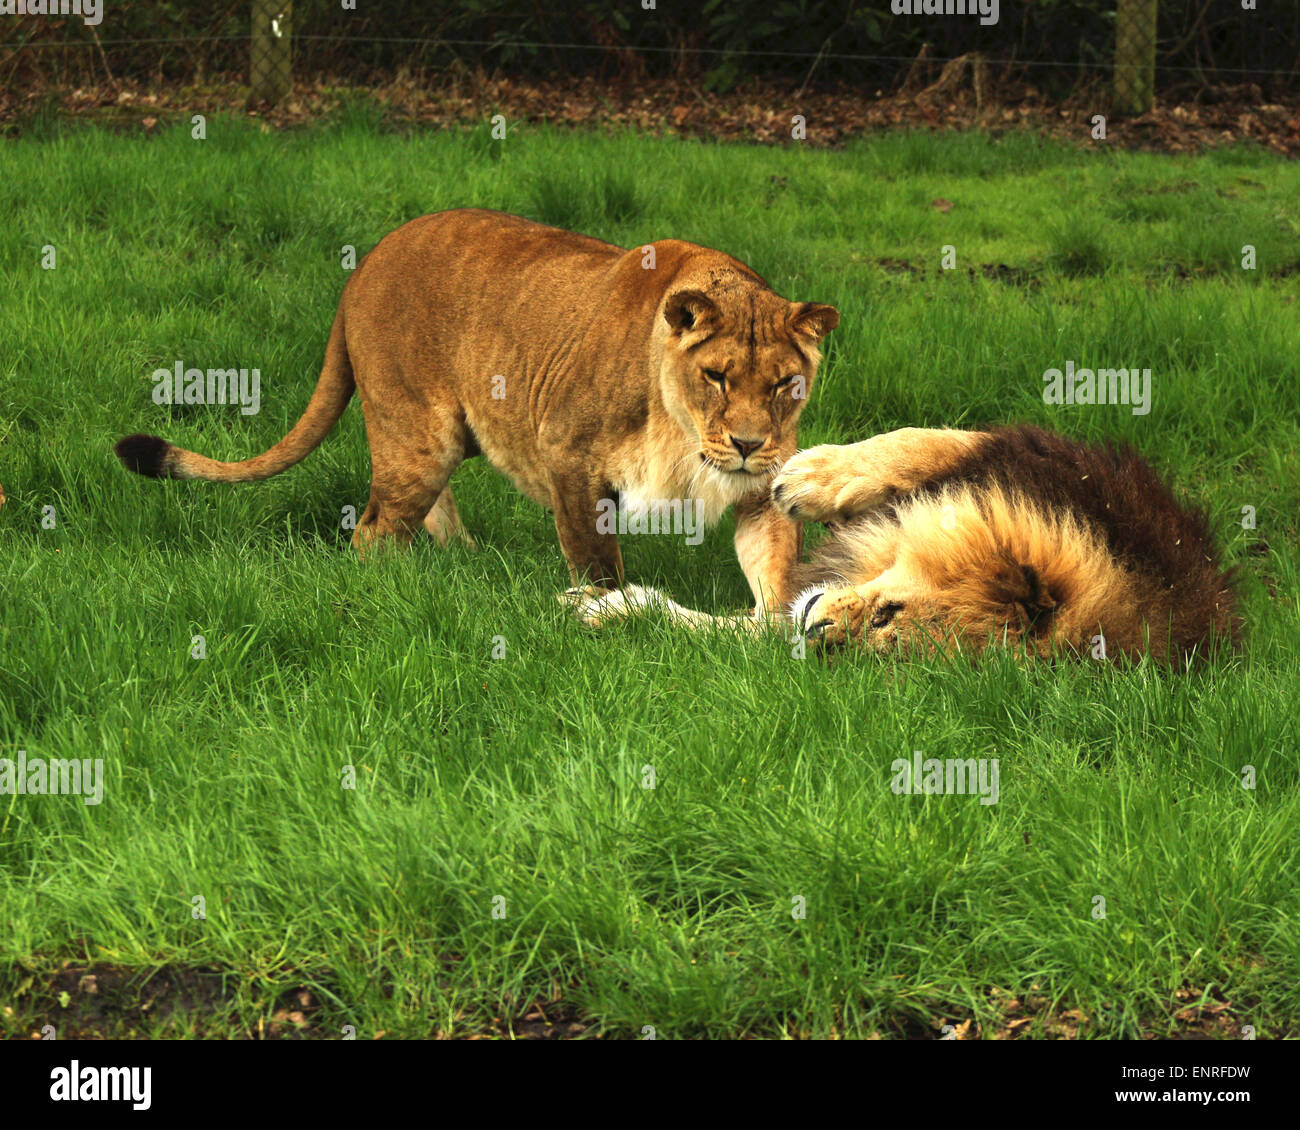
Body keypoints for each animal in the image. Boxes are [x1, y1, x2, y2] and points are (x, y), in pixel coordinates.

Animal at [114, 209, 838, 613]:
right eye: (716, 377)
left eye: (784, 384)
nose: (747, 443)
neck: (686, 431)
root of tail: (363, 265)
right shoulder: (569, 455)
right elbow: (595, 560)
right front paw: (606, 610)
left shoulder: (763, 486)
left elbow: (778, 565)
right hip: (419, 434)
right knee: (373, 531)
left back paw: (465, 561)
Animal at [566, 425, 1242, 664]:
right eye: (887, 612)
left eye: (885, 635)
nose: (815, 631)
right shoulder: (1036, 459)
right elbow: (924, 442)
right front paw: (809, 478)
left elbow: (715, 626)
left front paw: (609, 611)